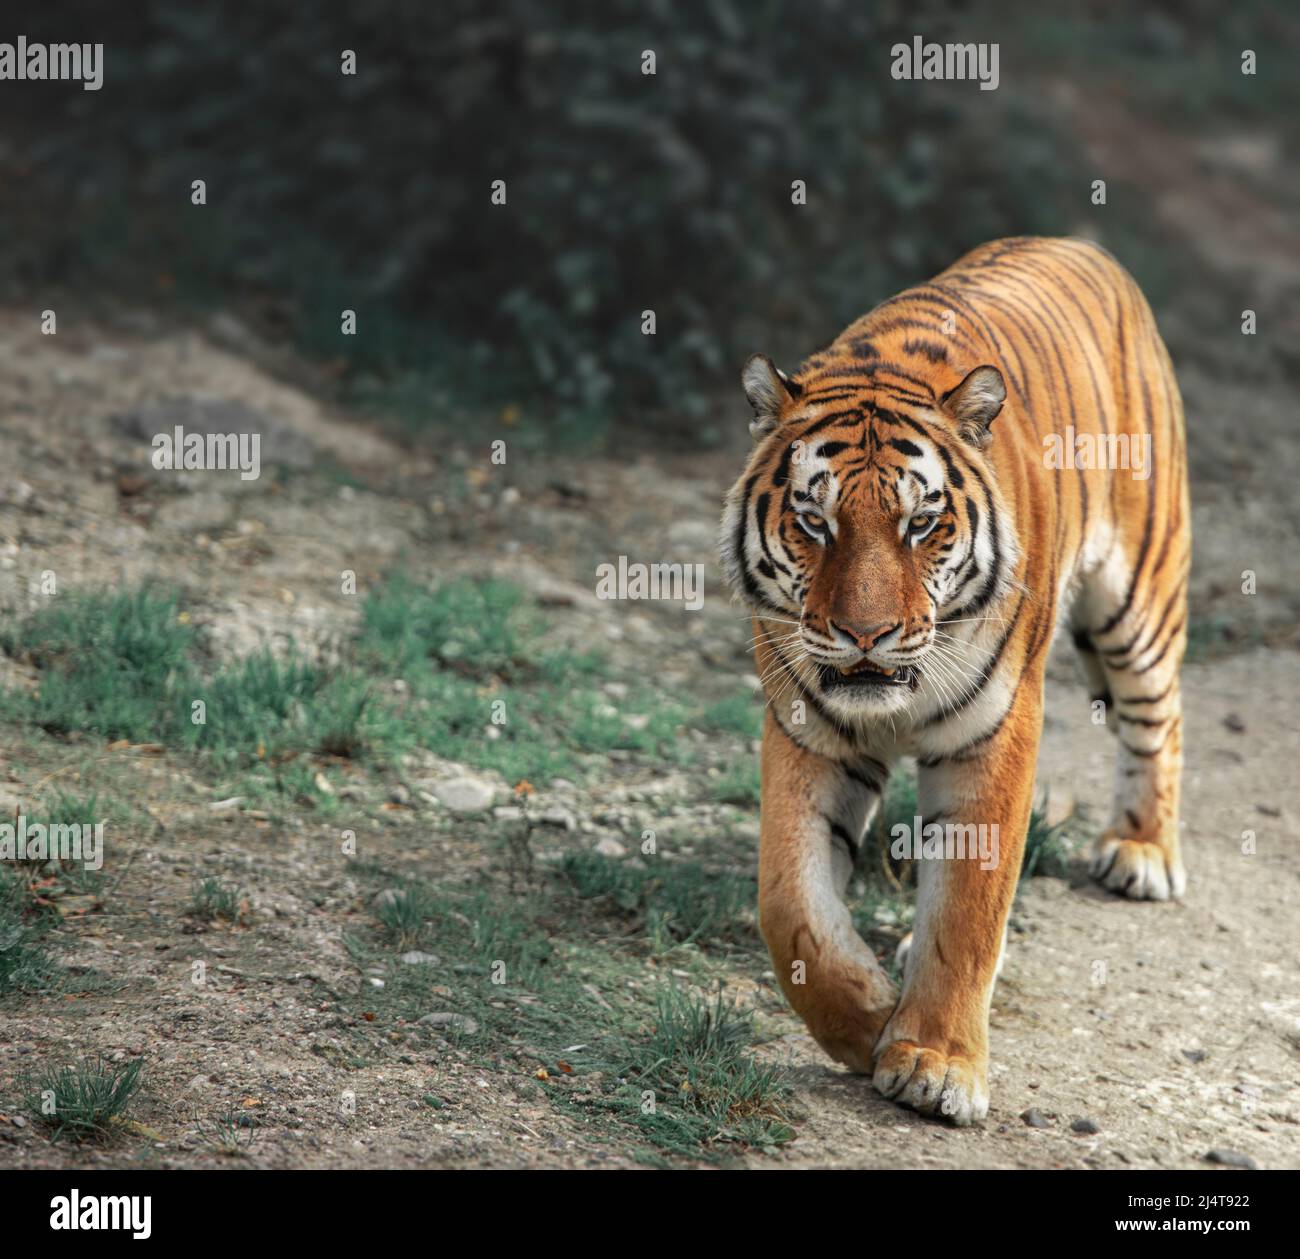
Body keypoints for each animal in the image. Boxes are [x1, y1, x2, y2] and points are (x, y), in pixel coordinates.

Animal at [719, 236, 1190, 1125]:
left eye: (922, 523)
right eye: (814, 522)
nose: (864, 634)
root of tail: (1086, 246)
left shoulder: (993, 732)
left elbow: (970, 906)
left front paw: (934, 1064)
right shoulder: (808, 727)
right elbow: (789, 904)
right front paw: (868, 1017)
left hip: (1139, 595)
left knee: (1161, 716)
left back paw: (1143, 850)